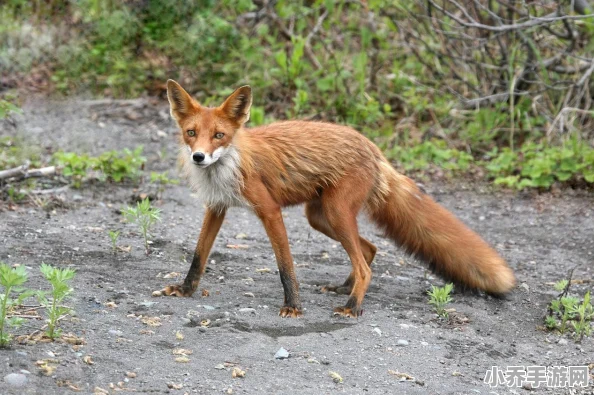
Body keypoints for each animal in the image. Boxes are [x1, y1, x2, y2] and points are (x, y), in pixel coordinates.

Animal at [153, 80, 512, 318]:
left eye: (219, 135)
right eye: (191, 133)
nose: (199, 157)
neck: (229, 164)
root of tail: (373, 148)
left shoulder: (269, 210)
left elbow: (286, 266)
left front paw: (293, 306)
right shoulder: (216, 207)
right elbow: (198, 257)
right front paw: (185, 290)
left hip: (336, 213)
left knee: (365, 264)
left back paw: (352, 306)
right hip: (321, 217)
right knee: (369, 250)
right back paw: (345, 288)